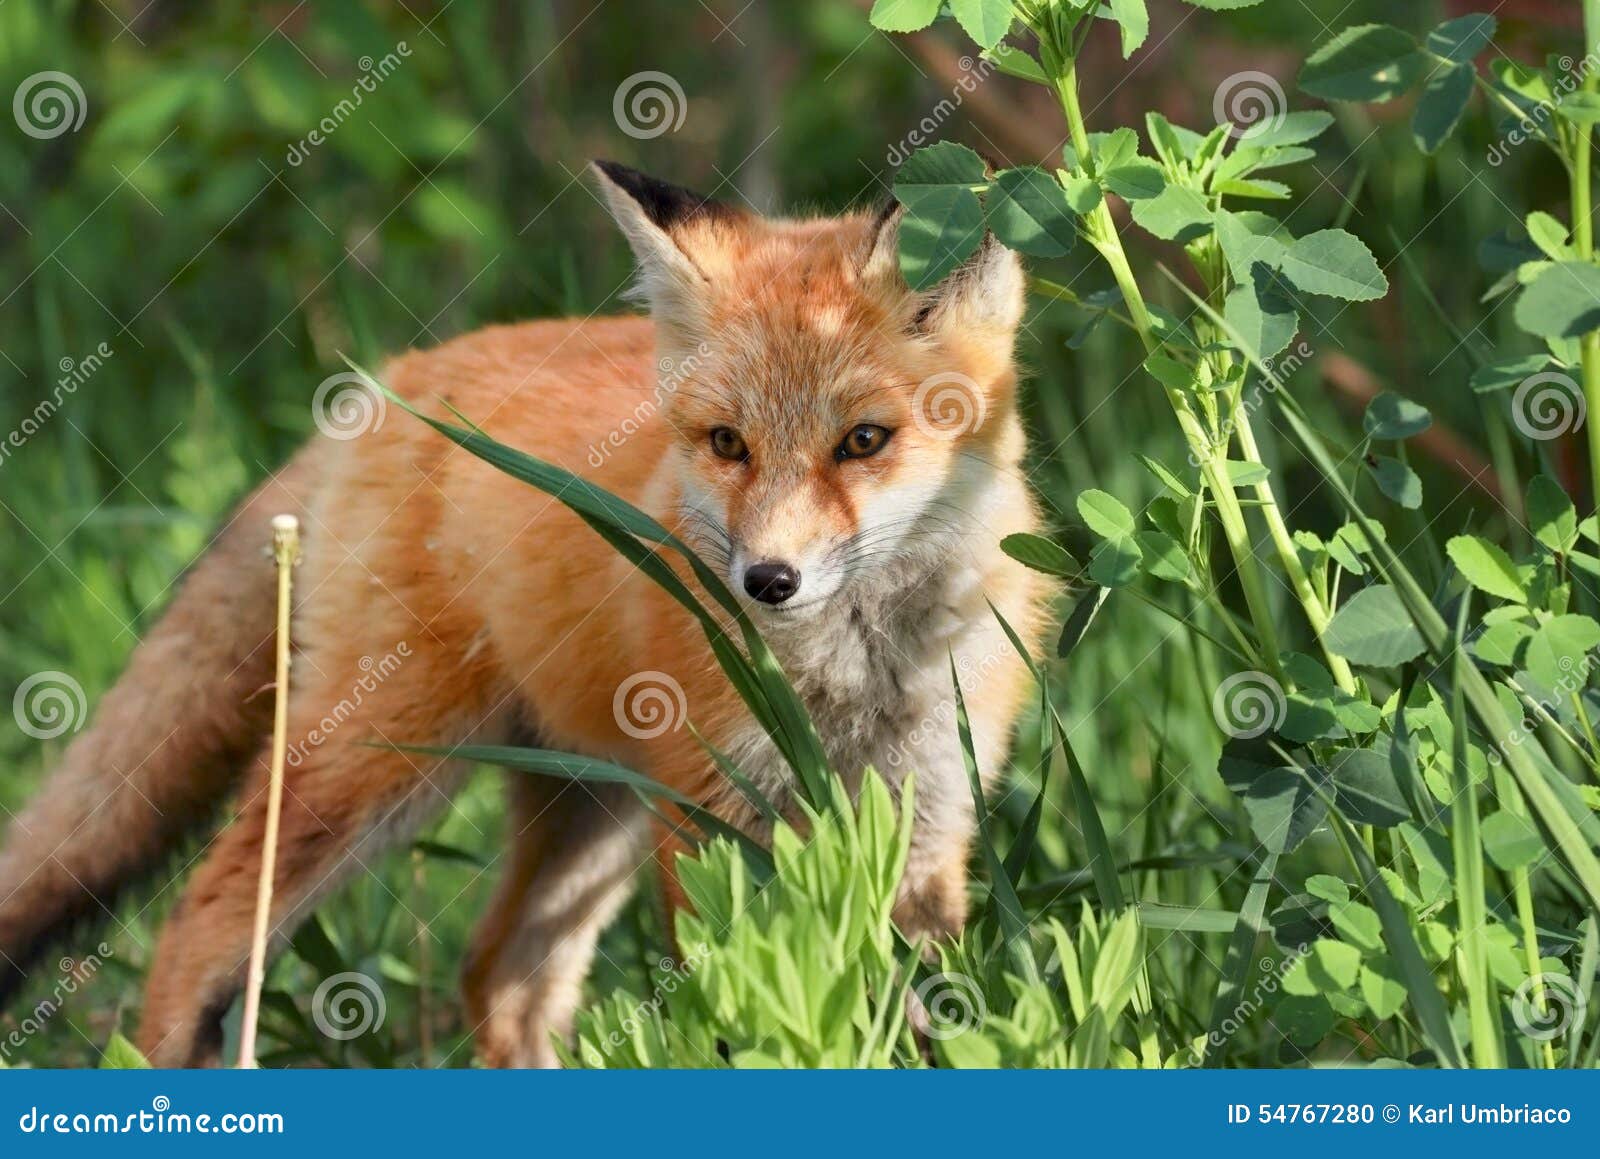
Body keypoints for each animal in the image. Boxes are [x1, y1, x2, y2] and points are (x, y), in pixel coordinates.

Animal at [0, 161, 1048, 1067]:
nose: (767, 581)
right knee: (200, 921)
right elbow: (739, 1001)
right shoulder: (713, 818)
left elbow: (927, 1012)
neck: (851, 680)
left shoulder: (931, 818)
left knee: (496, 969)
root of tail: (388, 381)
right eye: (728, 443)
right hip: (376, 760)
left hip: (592, 808)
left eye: (864, 440)